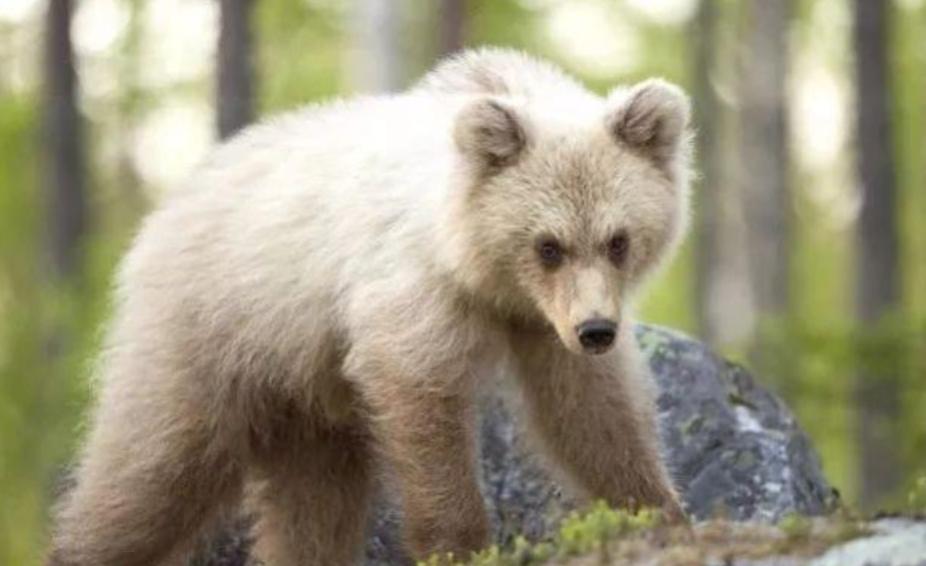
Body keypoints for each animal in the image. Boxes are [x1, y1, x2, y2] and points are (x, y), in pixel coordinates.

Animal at [48, 48, 692, 566]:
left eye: (618, 239)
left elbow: (595, 414)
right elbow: (423, 398)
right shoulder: (412, 291)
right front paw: (459, 544)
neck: (482, 274)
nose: (596, 329)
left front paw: (659, 509)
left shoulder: (542, 324)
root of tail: (164, 208)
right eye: (548, 245)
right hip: (205, 331)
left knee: (313, 504)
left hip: (307, 395)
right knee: (152, 470)